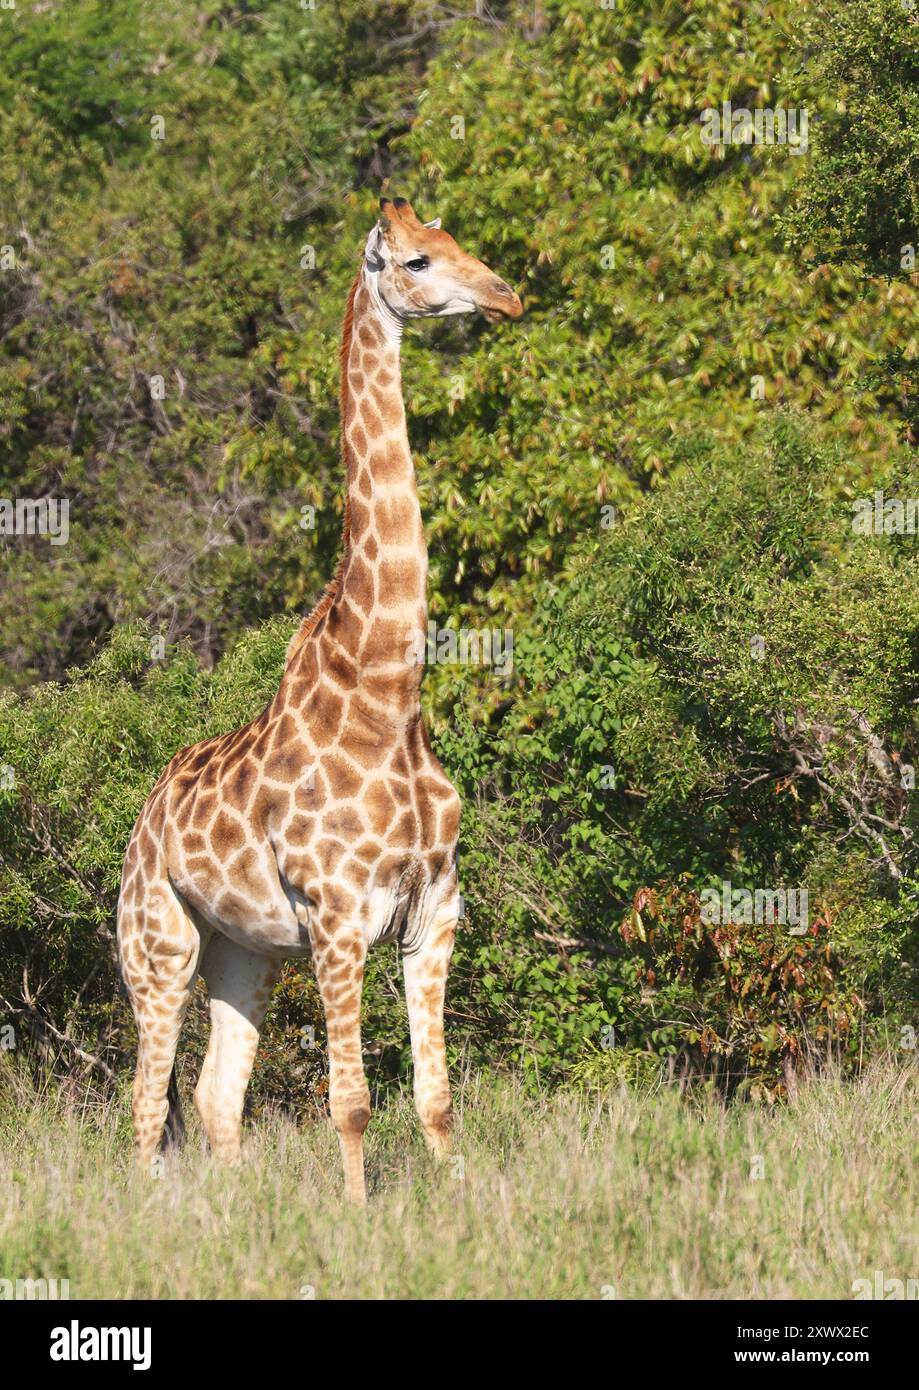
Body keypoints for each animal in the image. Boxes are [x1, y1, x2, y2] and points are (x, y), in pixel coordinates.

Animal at [116, 197, 523, 1204]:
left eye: (457, 244)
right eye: (416, 261)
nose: (505, 296)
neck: (389, 693)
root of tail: (142, 820)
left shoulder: (434, 914)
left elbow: (435, 1102)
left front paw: (454, 1206)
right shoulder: (340, 919)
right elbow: (352, 1103)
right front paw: (357, 1213)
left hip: (245, 952)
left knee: (215, 1098)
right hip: (158, 946)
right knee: (144, 1110)